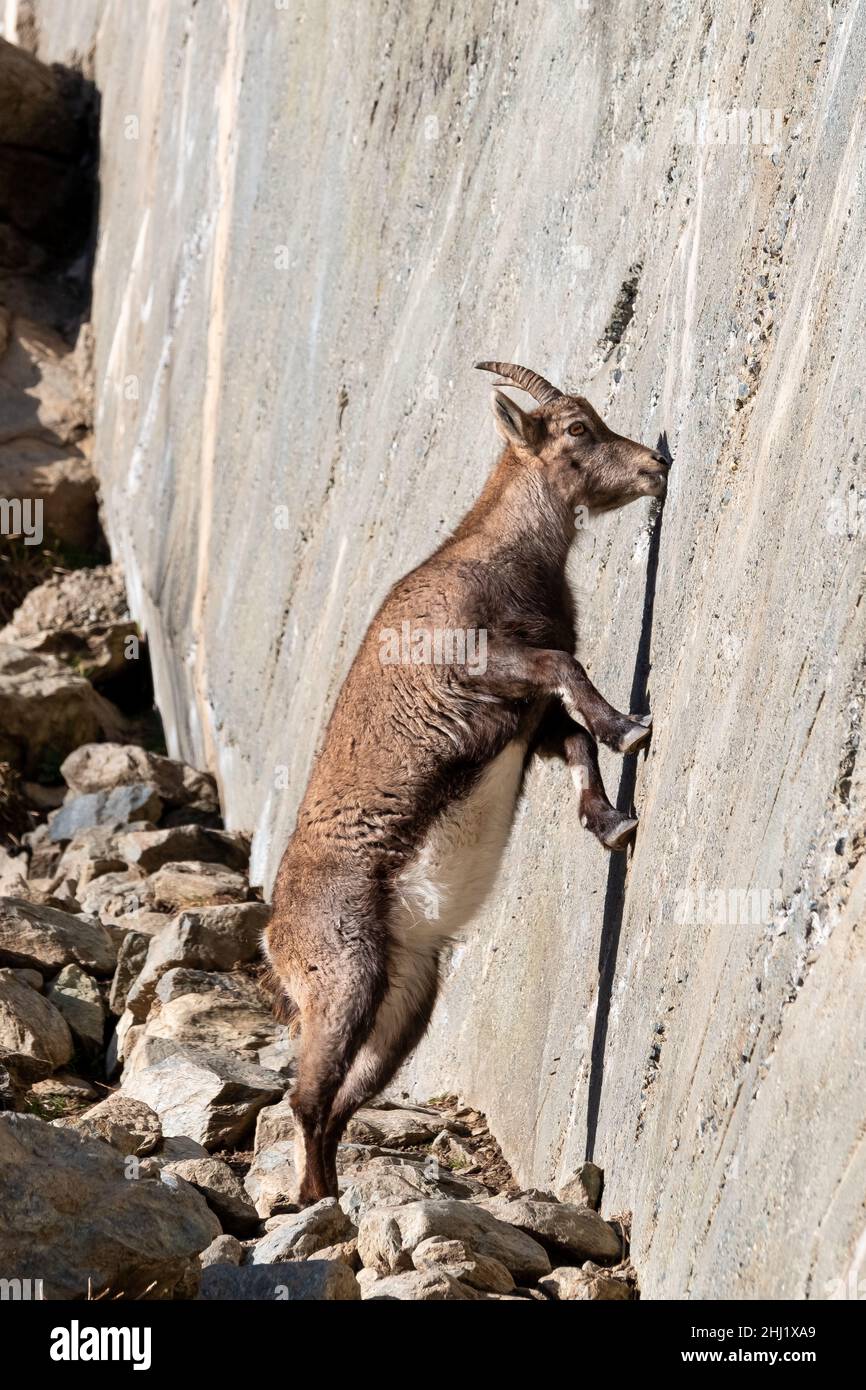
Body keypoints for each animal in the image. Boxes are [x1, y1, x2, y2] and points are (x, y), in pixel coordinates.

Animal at [266, 361, 670, 1204]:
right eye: (578, 428)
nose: (657, 464)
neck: (496, 556)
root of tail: (273, 932)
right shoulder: (481, 673)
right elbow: (568, 671)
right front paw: (631, 727)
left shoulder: (526, 723)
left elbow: (573, 740)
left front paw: (610, 821)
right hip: (344, 978)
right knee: (307, 1095)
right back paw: (315, 1204)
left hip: (407, 999)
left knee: (344, 1100)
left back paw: (333, 1192)